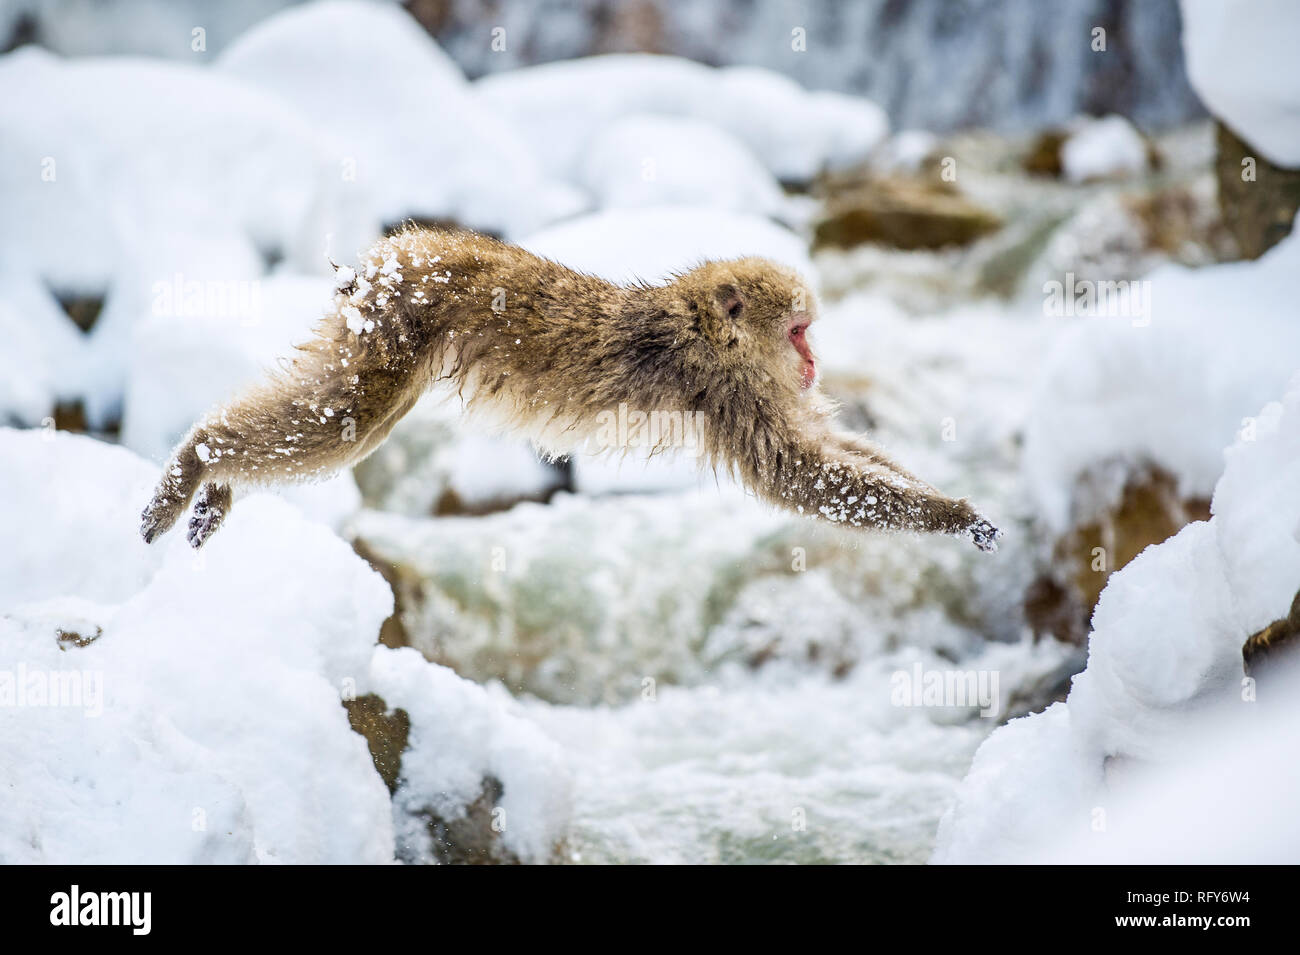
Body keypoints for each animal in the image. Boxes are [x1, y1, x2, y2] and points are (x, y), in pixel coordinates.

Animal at [140, 226, 1001, 552]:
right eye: (798, 330)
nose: (814, 360)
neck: (703, 325)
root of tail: (397, 253)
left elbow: (829, 446)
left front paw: (955, 502)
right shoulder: (732, 389)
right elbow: (799, 471)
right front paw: (954, 516)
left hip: (385, 334)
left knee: (351, 419)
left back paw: (216, 487)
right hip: (393, 328)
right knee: (344, 417)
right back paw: (198, 460)